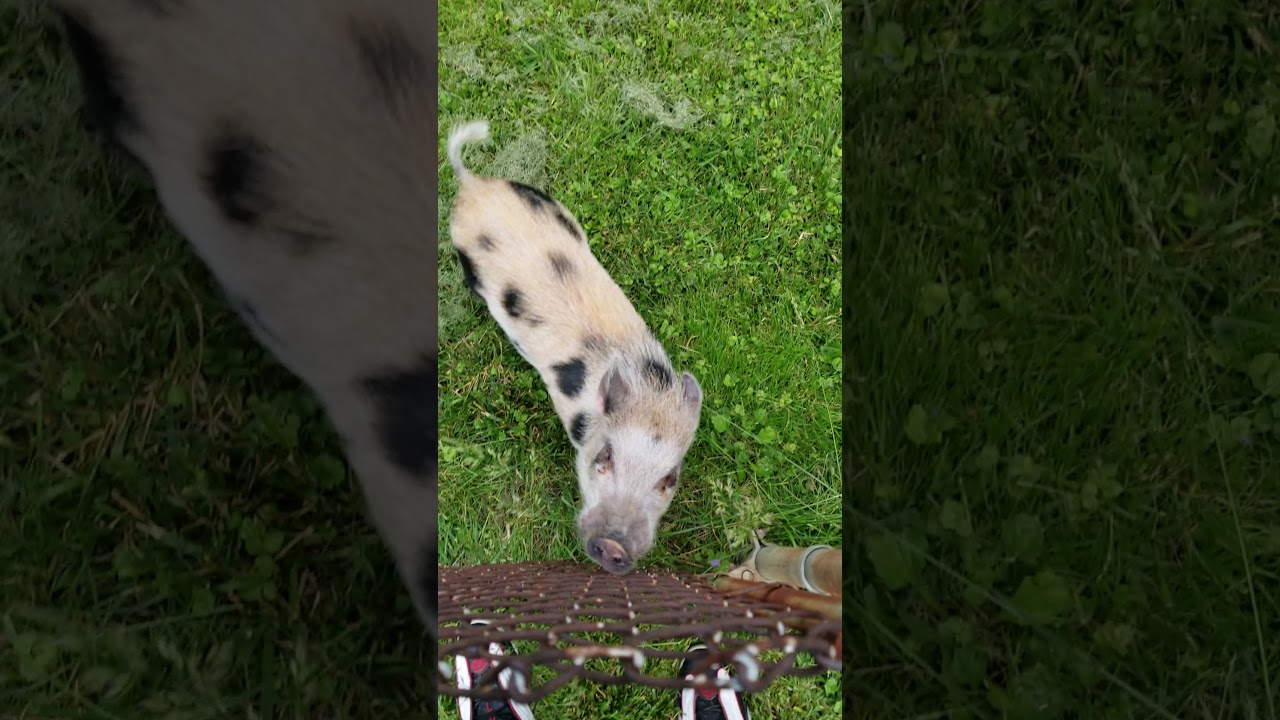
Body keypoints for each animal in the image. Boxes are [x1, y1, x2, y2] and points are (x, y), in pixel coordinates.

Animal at [445, 120, 704, 574]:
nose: (615, 545)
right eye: (605, 456)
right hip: (467, 259)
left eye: (668, 479)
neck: (644, 379)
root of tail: (473, 186)